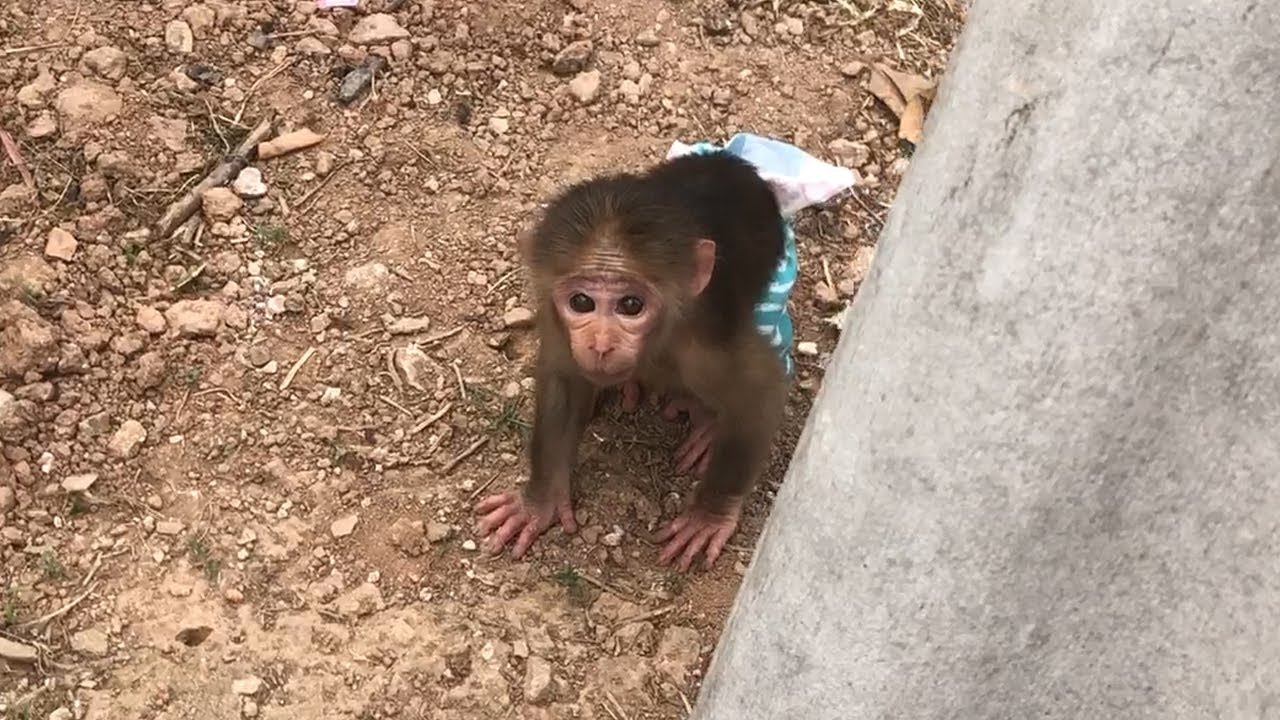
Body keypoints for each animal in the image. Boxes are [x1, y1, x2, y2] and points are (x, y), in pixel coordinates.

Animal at [474, 150, 791, 571]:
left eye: (630, 305)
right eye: (581, 302)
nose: (601, 344)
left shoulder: (704, 346)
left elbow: (761, 394)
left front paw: (708, 517)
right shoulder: (555, 320)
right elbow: (563, 378)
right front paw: (537, 501)